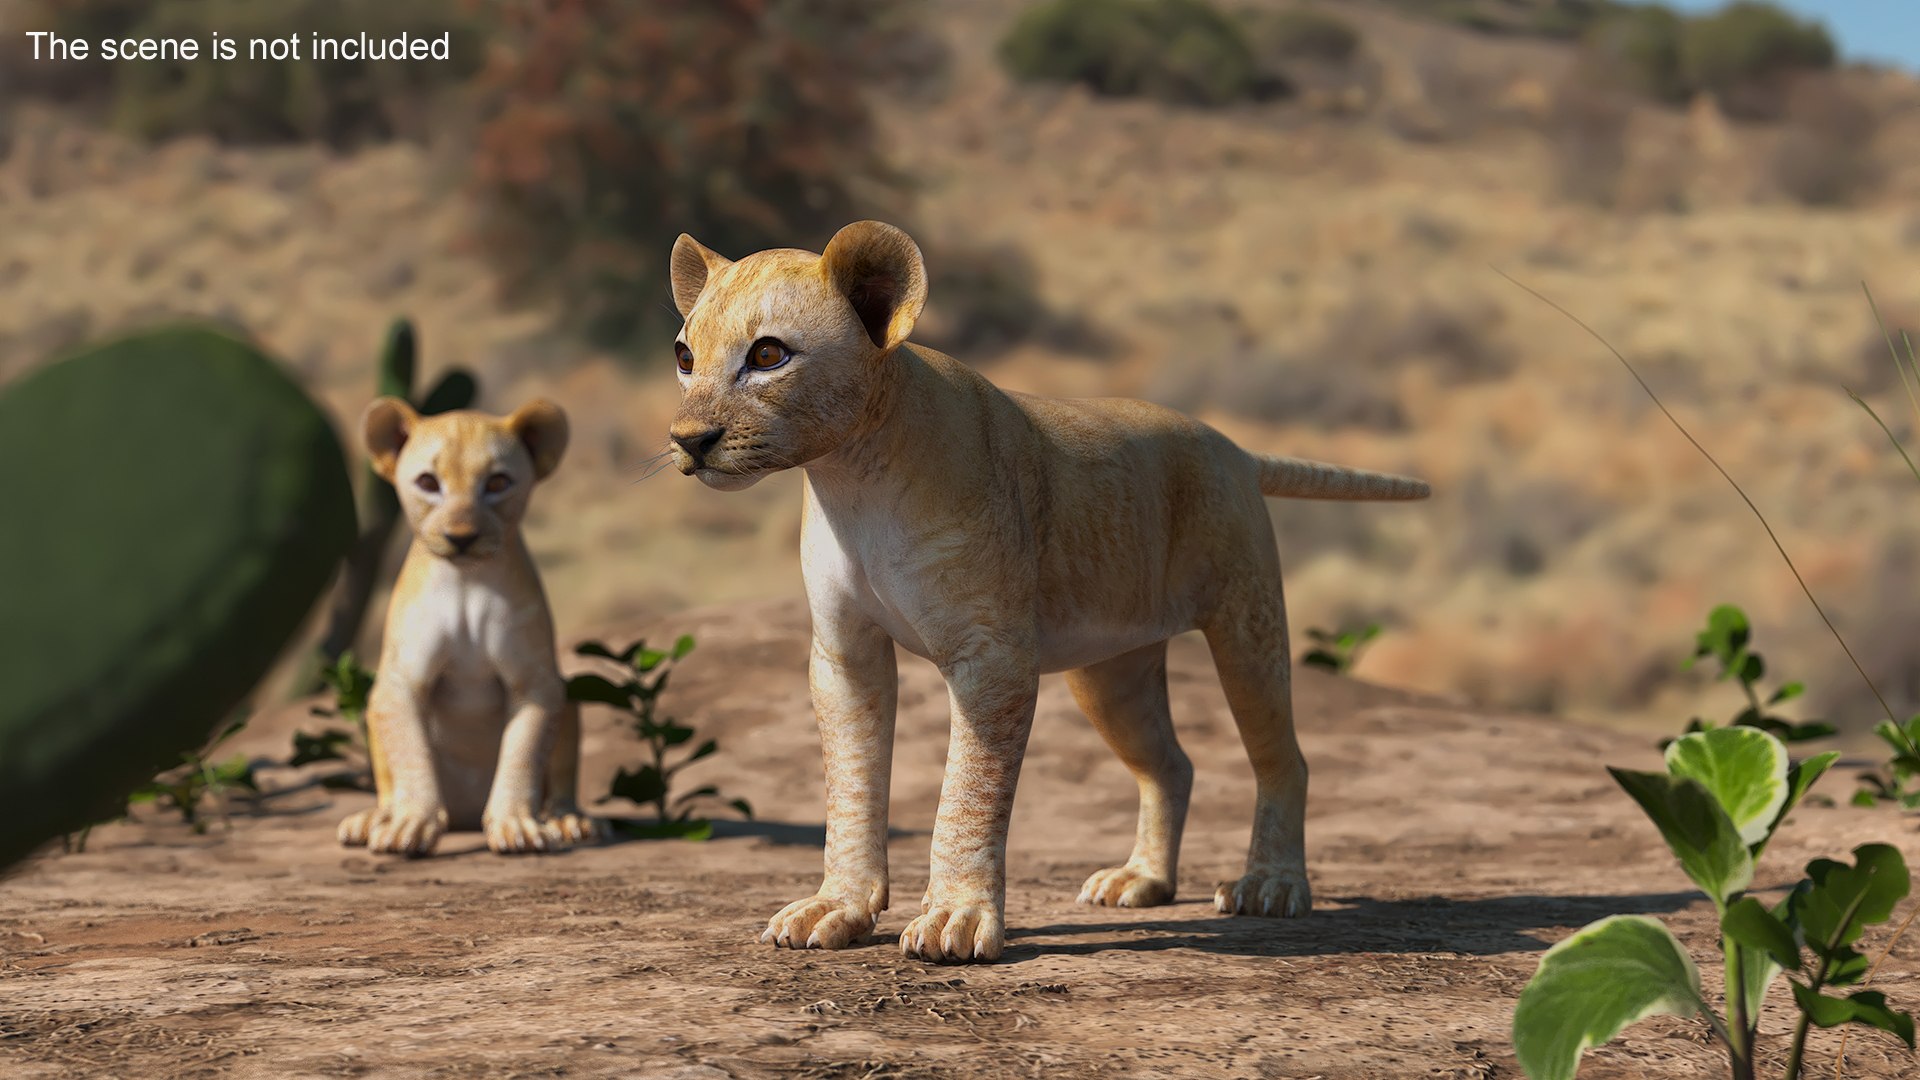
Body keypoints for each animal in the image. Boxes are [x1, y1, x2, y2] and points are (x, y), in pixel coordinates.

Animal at [337, 398, 596, 857]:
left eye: (497, 482)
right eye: (428, 482)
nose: (461, 537)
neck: (466, 584)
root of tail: (465, 818)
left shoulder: (537, 683)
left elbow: (523, 753)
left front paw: (516, 825)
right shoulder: (398, 683)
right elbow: (411, 756)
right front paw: (409, 826)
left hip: (571, 701)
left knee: (562, 782)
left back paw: (567, 820)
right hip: (371, 706)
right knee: (387, 785)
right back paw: (373, 819)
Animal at [664, 221, 1429, 961]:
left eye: (768, 355)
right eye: (684, 356)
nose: (687, 439)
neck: (852, 475)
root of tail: (1236, 448)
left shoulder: (992, 657)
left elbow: (968, 792)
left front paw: (954, 919)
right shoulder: (843, 652)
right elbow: (851, 784)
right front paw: (837, 908)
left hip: (1247, 623)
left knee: (1283, 758)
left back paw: (1270, 885)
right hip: (1112, 671)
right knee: (1171, 765)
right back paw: (1141, 879)